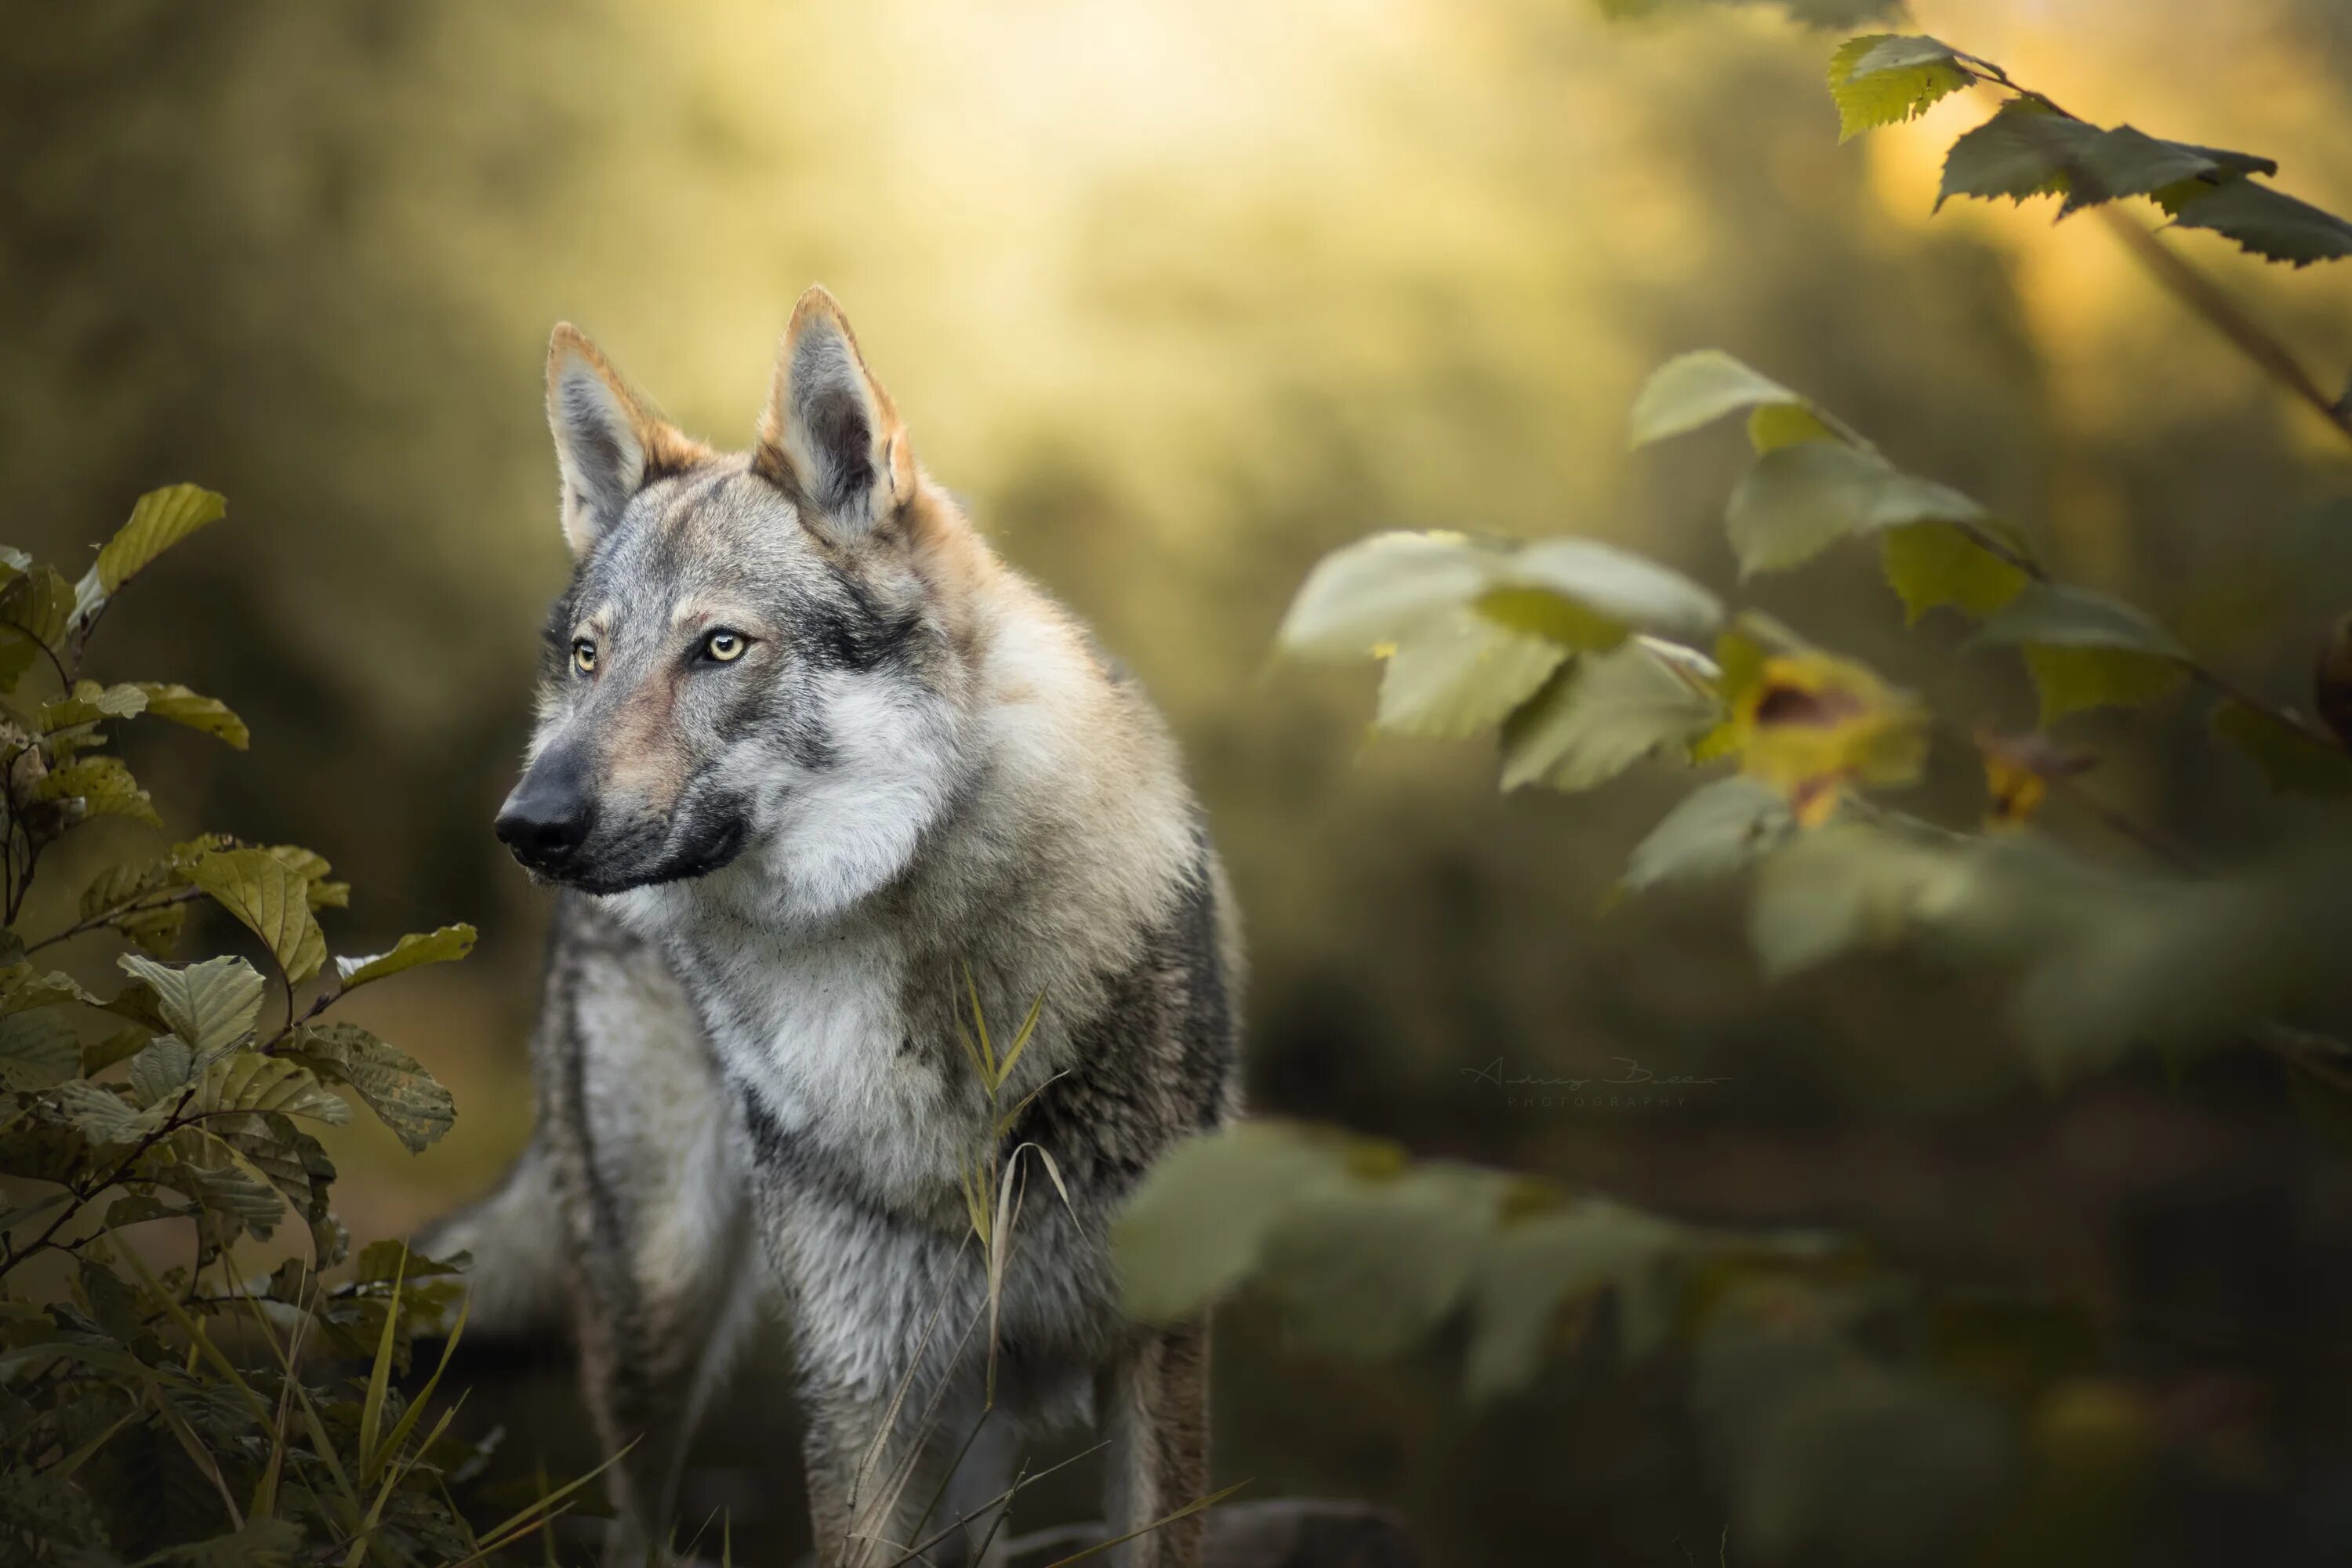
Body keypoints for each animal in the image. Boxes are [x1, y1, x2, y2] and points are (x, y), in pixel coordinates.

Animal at [429, 288, 1241, 1568]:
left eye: (720, 646)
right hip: (661, 1305)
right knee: (635, 1523)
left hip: (967, 1422)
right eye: (591, 656)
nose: (529, 825)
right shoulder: (860, 1388)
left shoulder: (1153, 1349)